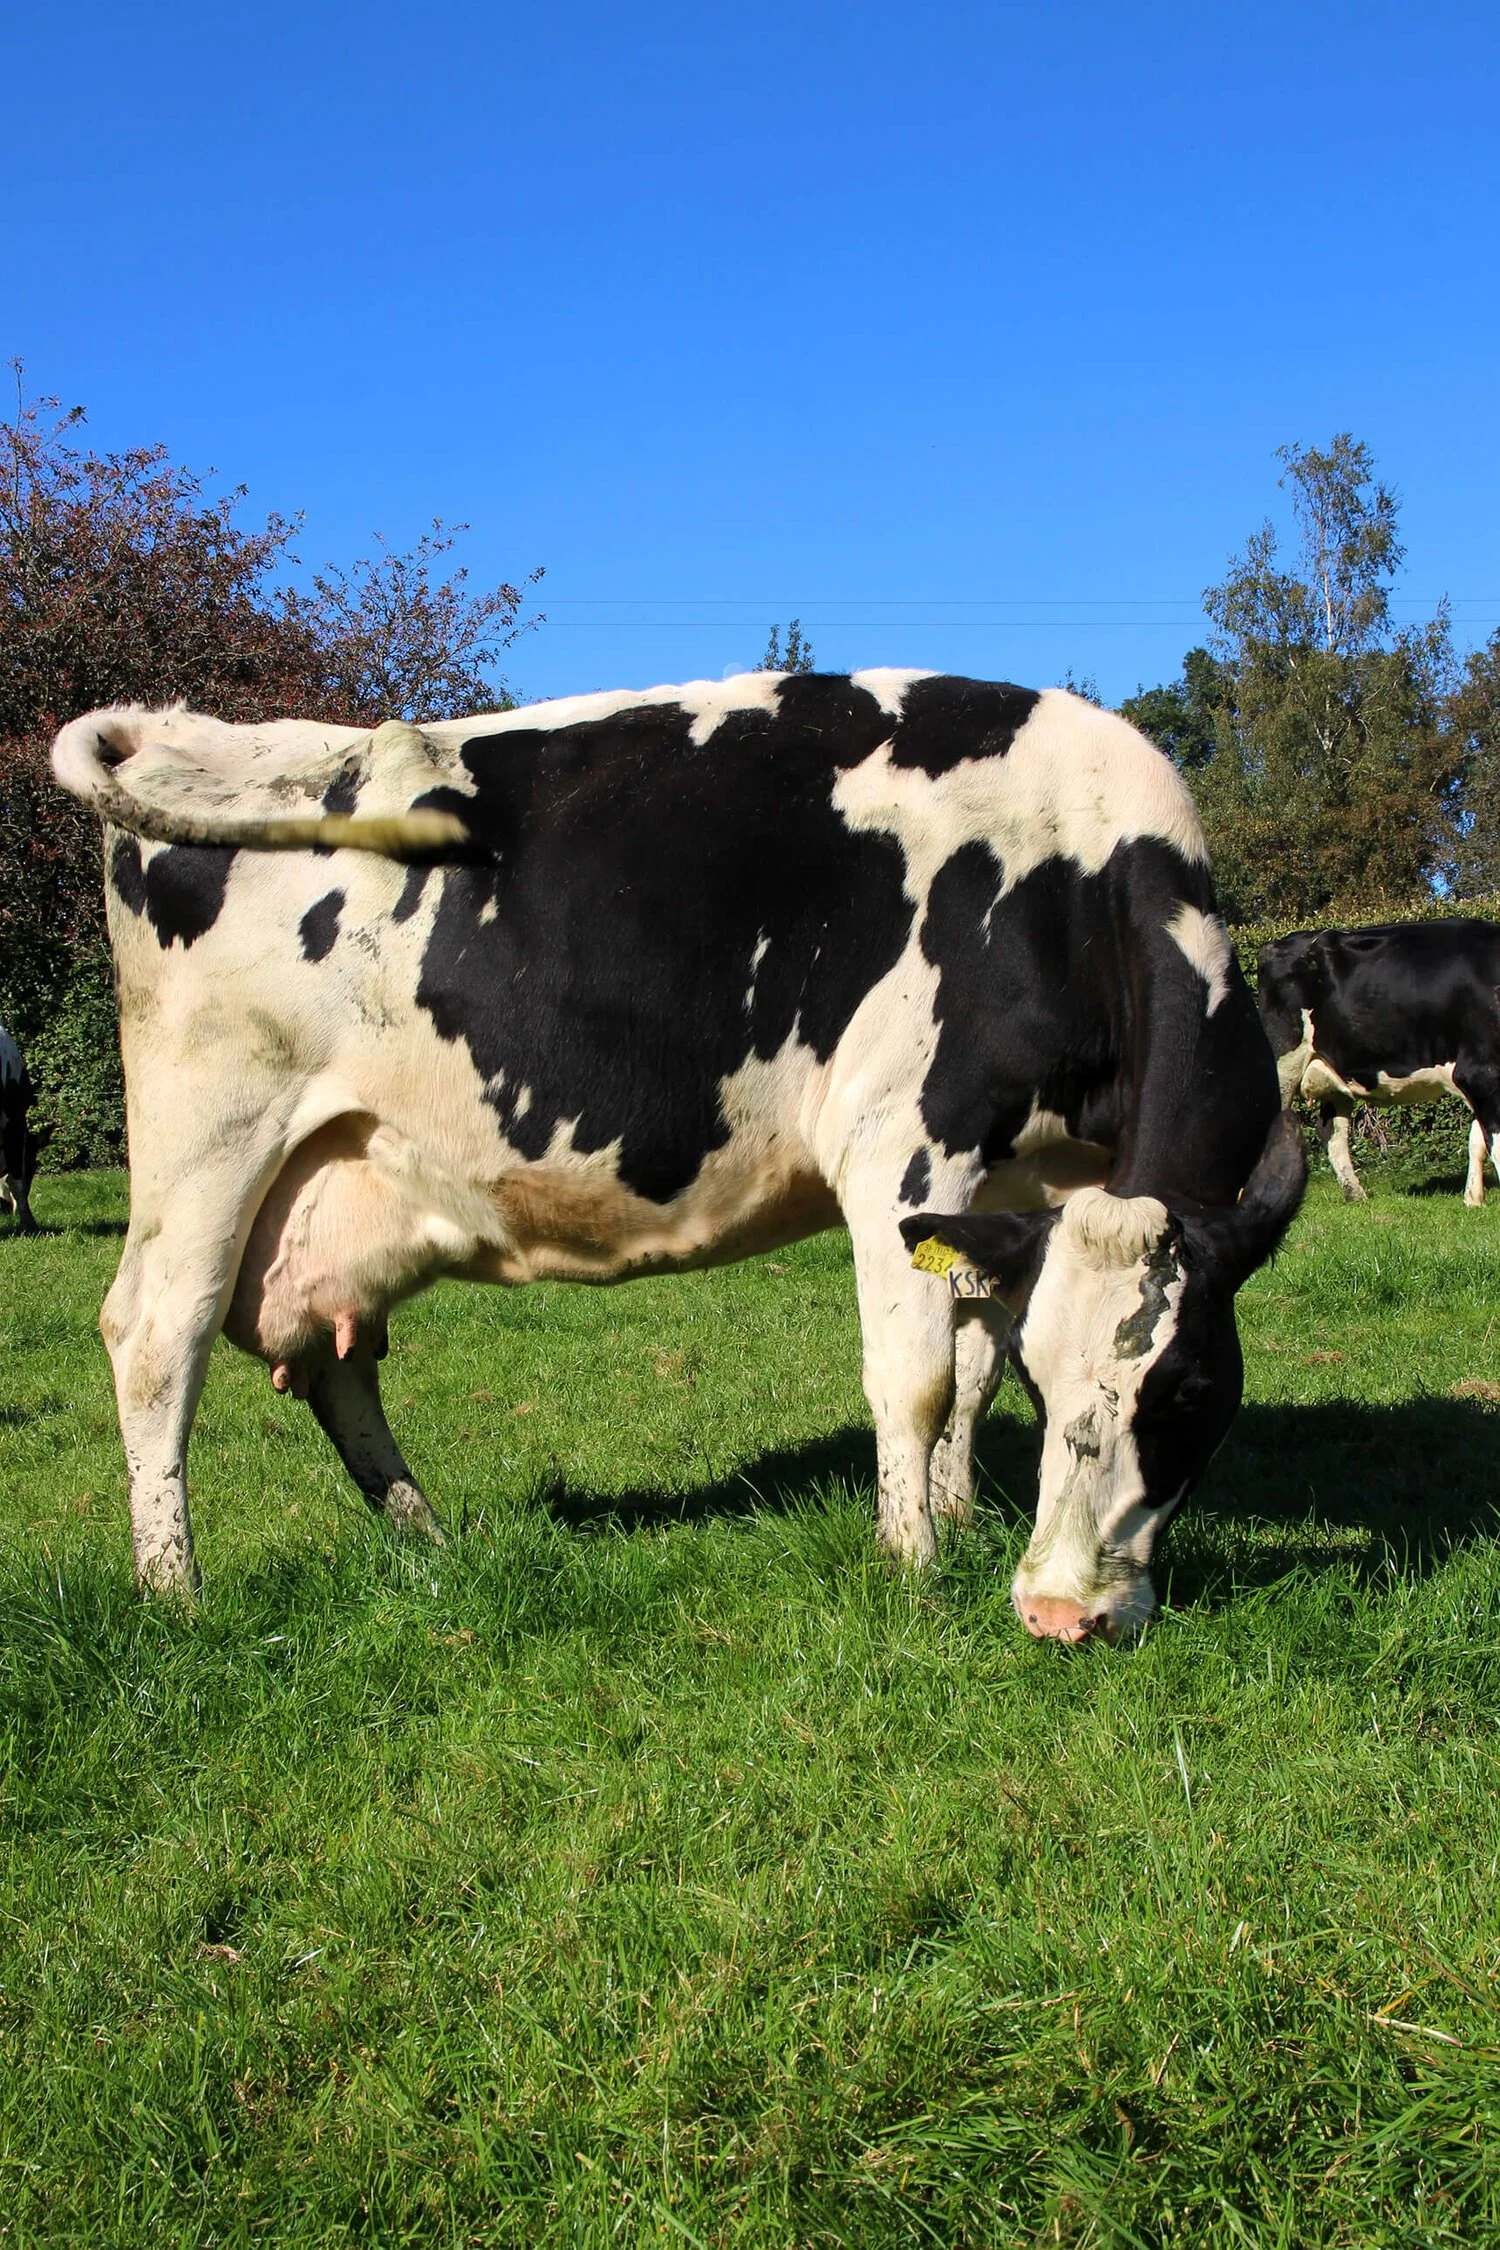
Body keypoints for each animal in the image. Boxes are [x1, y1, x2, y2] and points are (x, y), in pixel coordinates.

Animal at [53, 672, 1303, 1640]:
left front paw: (957, 1514)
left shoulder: (1014, 1187)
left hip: (336, 1179)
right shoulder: (902, 1140)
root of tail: (201, 736)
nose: (1061, 1614)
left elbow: (975, 1361)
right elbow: (918, 1378)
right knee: (156, 1336)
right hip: (210, 1136)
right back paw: (175, 1593)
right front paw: (915, 1569)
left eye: (1189, 1387)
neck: (1068, 871)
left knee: (333, 1360)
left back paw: (431, 1543)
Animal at [1259, 919, 1500, 1205]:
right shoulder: (1479, 1072)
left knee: (1331, 1133)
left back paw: (1356, 1195)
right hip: (1283, 1060)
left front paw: (1474, 1199)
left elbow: (1478, 1139)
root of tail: (1278, 944)